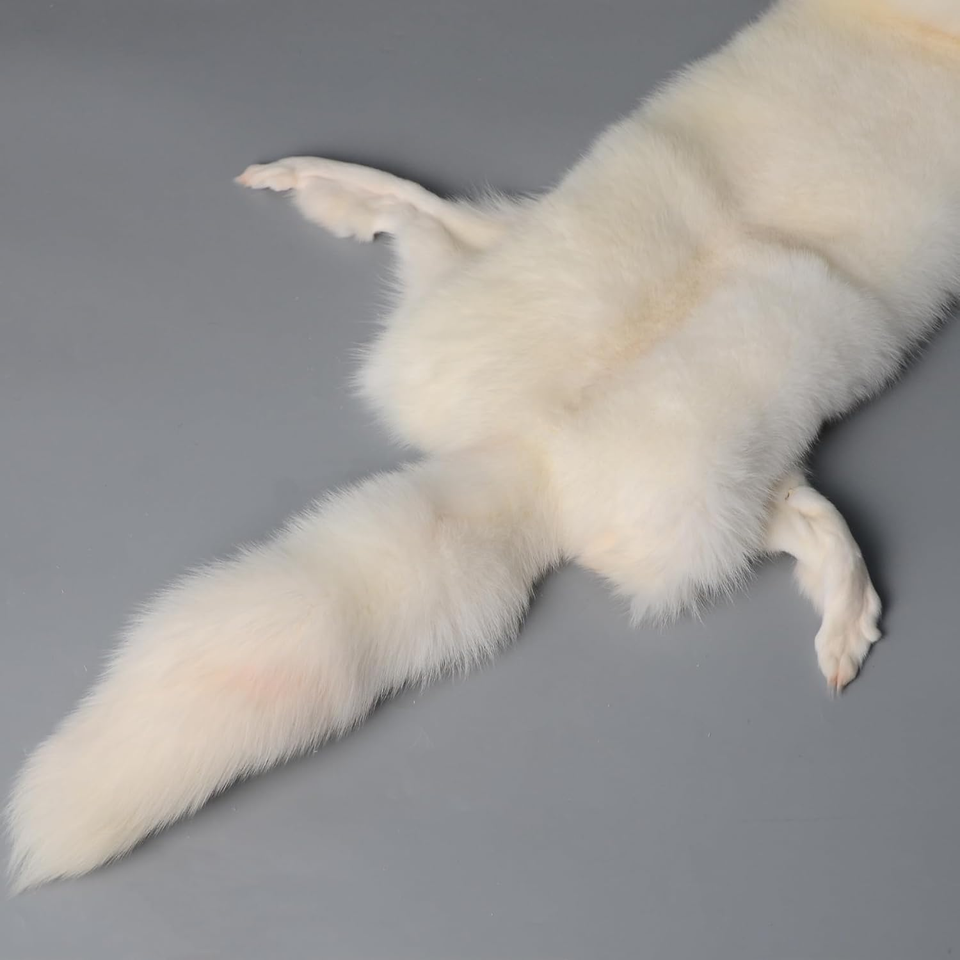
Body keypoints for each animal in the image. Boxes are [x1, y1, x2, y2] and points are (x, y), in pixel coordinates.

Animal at [8, 0, 960, 891]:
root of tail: (537, 441)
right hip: (728, 477)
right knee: (801, 523)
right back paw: (848, 613)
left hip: (503, 300)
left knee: (428, 229)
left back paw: (335, 187)